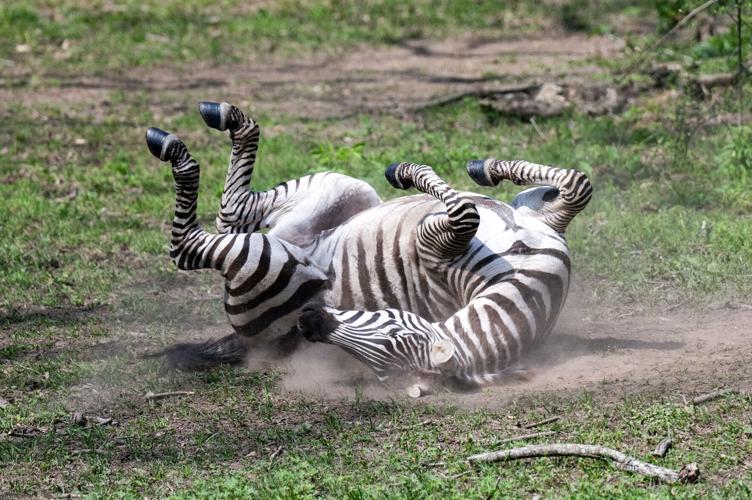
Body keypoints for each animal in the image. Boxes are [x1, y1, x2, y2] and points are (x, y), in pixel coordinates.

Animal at [145, 102, 591, 392]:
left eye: (381, 353)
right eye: (392, 326)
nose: (310, 323)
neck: (527, 280)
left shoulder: (437, 242)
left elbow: (471, 211)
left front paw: (422, 172)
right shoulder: (531, 216)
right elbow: (575, 184)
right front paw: (471, 169)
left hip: (270, 264)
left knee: (193, 242)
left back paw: (177, 147)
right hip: (342, 190)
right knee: (232, 212)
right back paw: (221, 120)